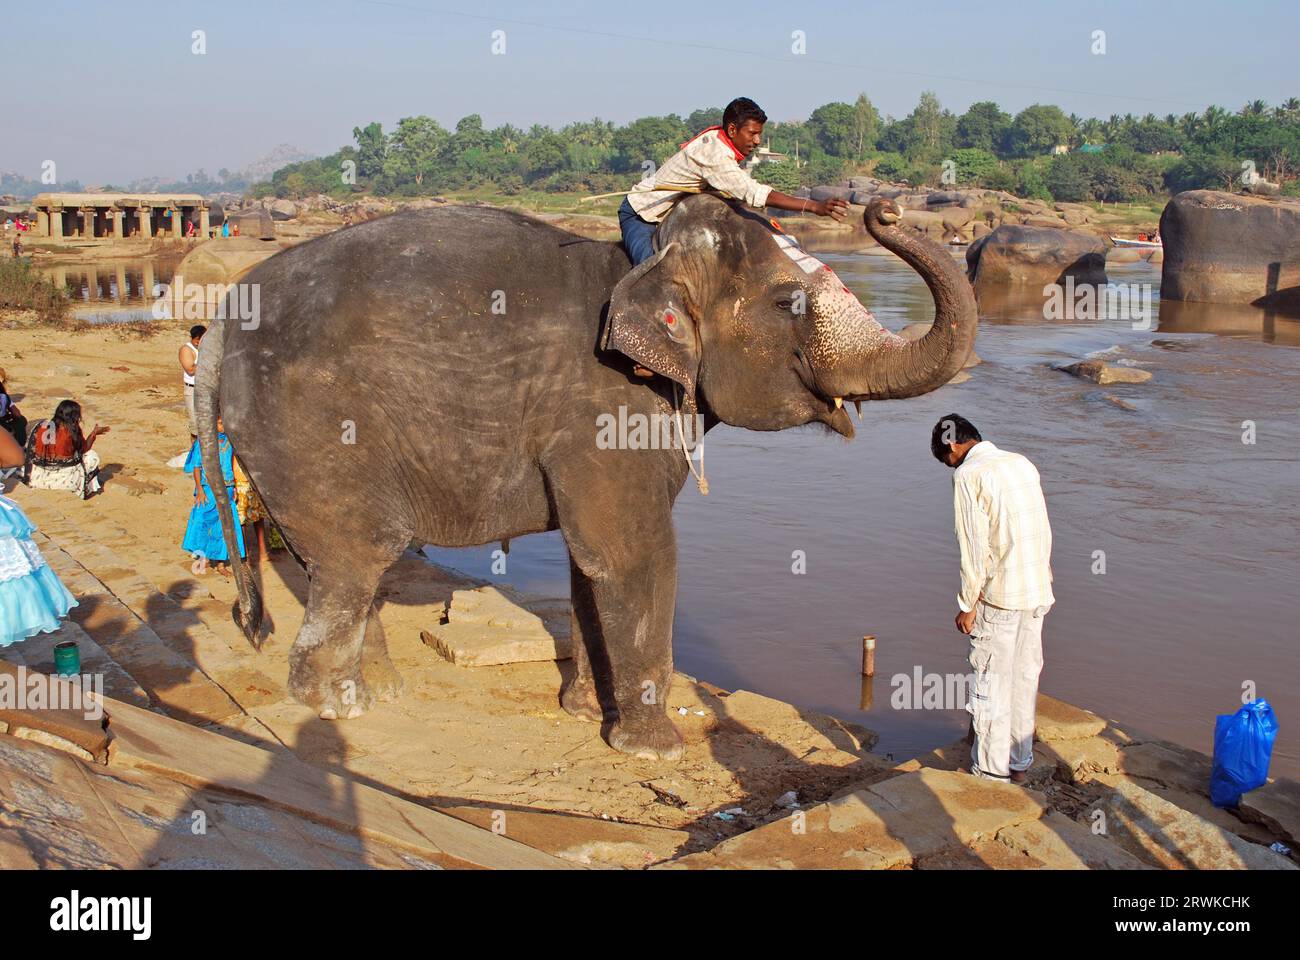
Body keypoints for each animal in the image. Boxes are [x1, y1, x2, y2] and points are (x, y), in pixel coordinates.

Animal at [195, 195, 977, 760]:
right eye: (791, 304)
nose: (884, 210)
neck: (647, 263)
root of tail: (226, 317)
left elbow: (588, 561)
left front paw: (583, 714)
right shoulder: (602, 407)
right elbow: (632, 554)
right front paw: (656, 753)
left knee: (340, 565)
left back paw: (380, 691)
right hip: (314, 426)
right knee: (359, 553)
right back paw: (340, 705)